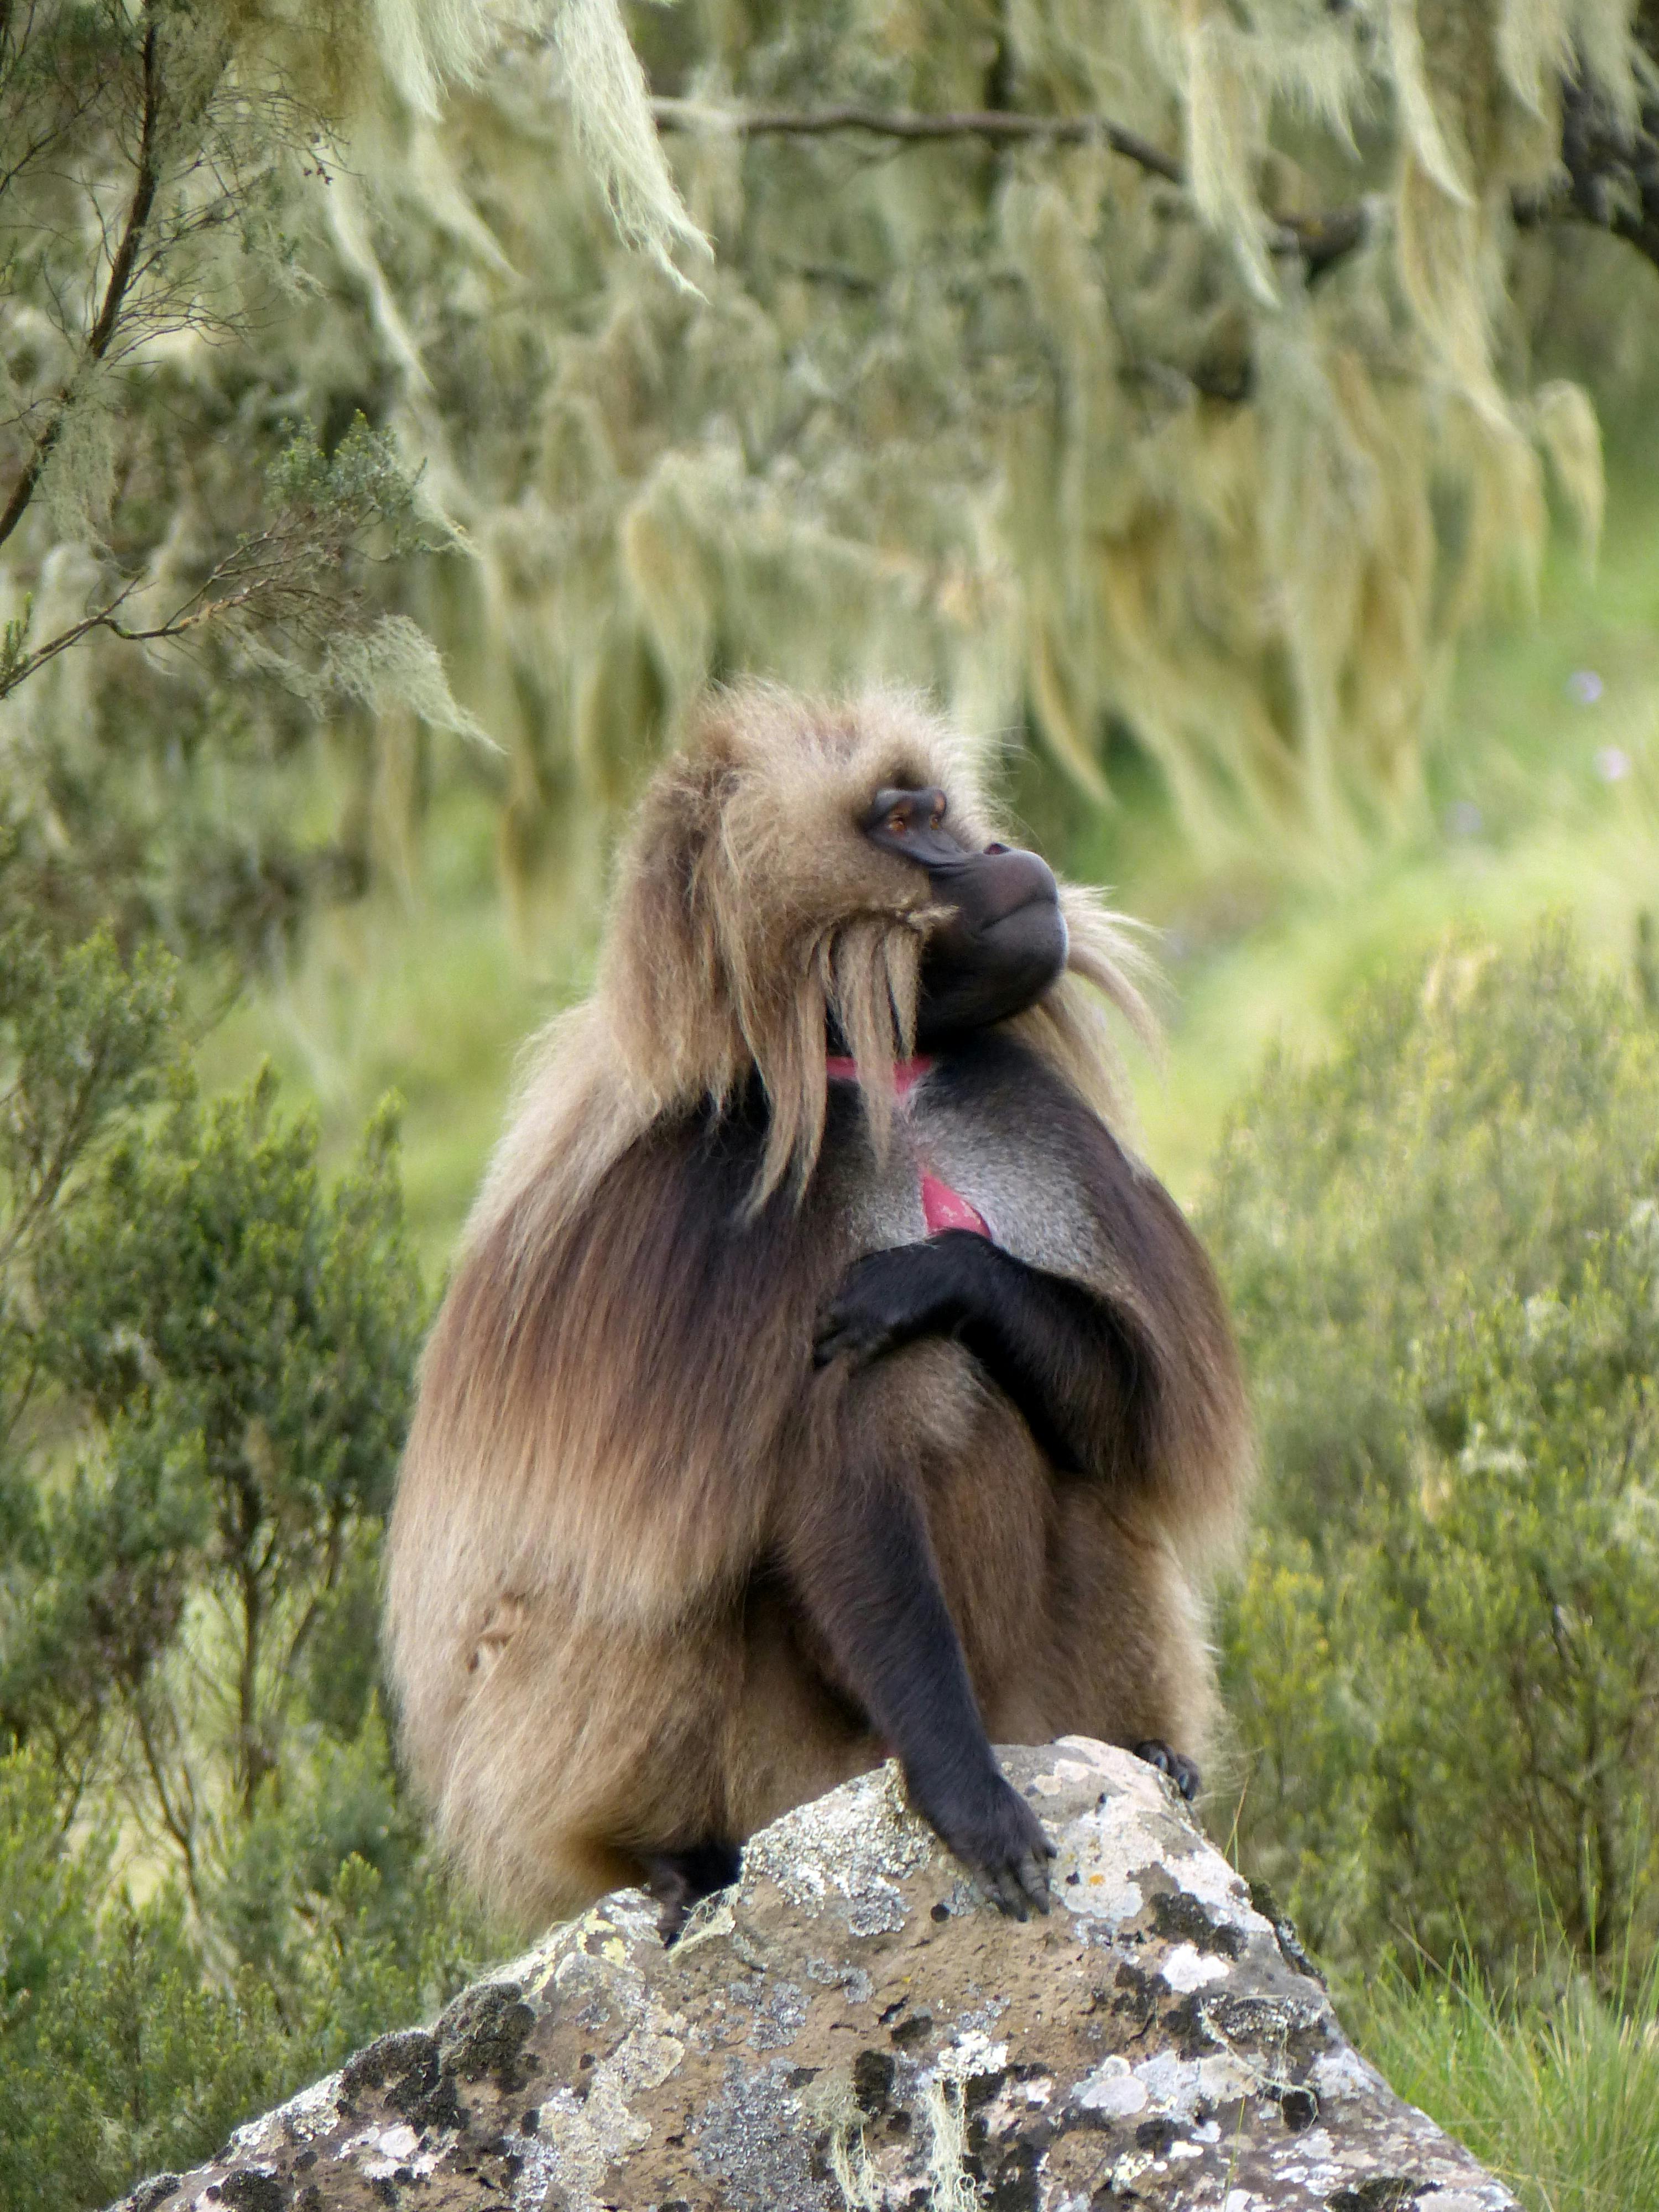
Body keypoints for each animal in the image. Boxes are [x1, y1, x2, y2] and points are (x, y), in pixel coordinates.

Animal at [385, 686, 1251, 1939]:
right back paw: (668, 1855)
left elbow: (1114, 1416)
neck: (873, 1078)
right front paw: (964, 1790)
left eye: (936, 808)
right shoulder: (717, 1205)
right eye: (901, 821)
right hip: (783, 1769)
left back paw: (1145, 1751)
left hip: (1023, 1704)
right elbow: (828, 1484)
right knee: (645, 1585)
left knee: (1063, 1458)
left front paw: (944, 1274)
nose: (1002, 856)